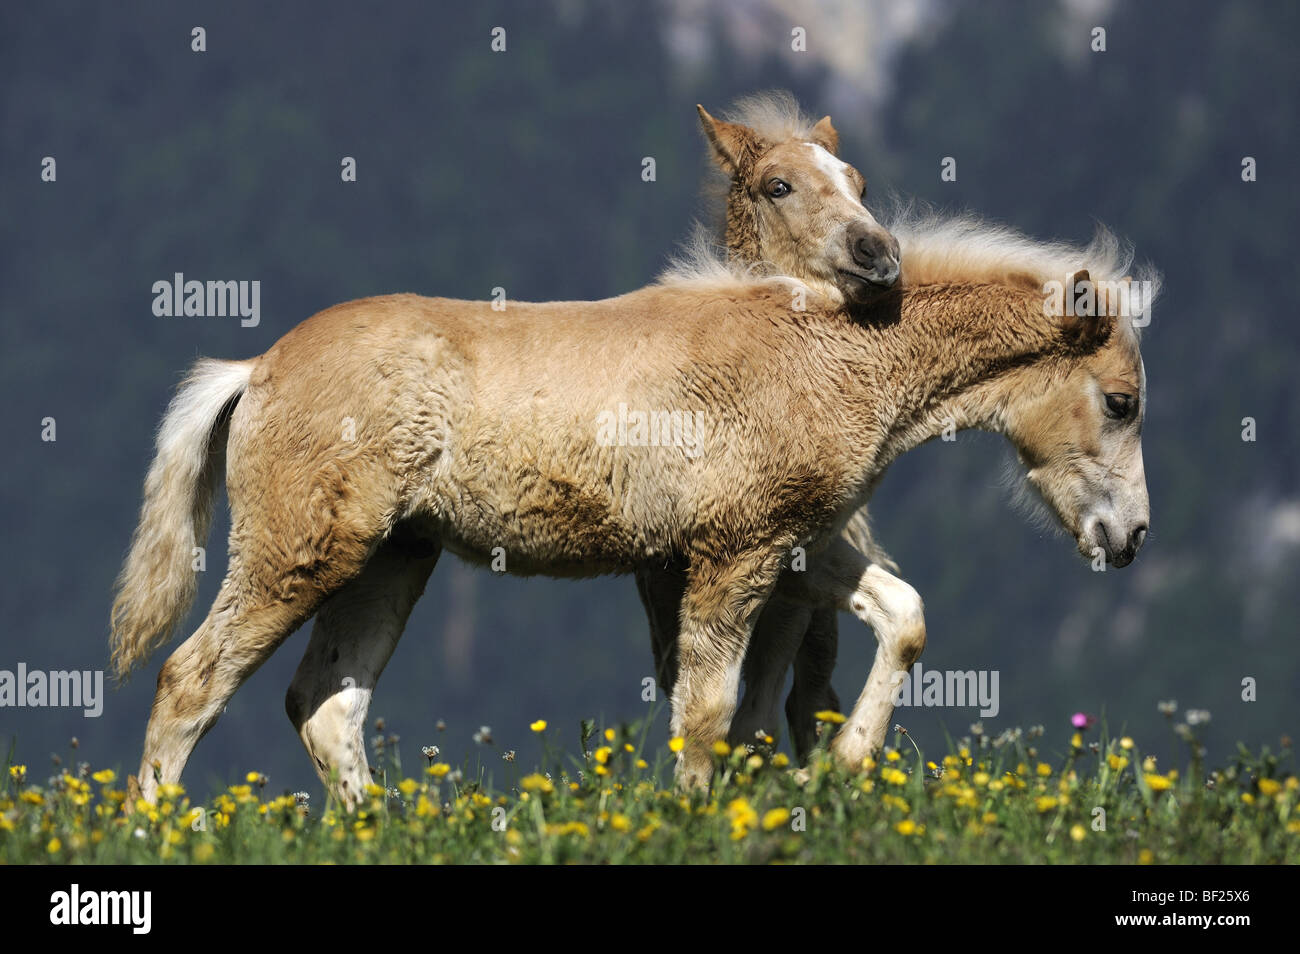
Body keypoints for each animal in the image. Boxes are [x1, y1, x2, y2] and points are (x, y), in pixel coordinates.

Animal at [111, 225, 1153, 805]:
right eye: (1121, 402)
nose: (1131, 538)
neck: (826, 354)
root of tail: (255, 370)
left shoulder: (794, 542)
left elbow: (904, 614)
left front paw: (843, 766)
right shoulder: (735, 549)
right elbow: (708, 706)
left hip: (394, 558)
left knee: (327, 704)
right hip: (300, 550)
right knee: (190, 678)